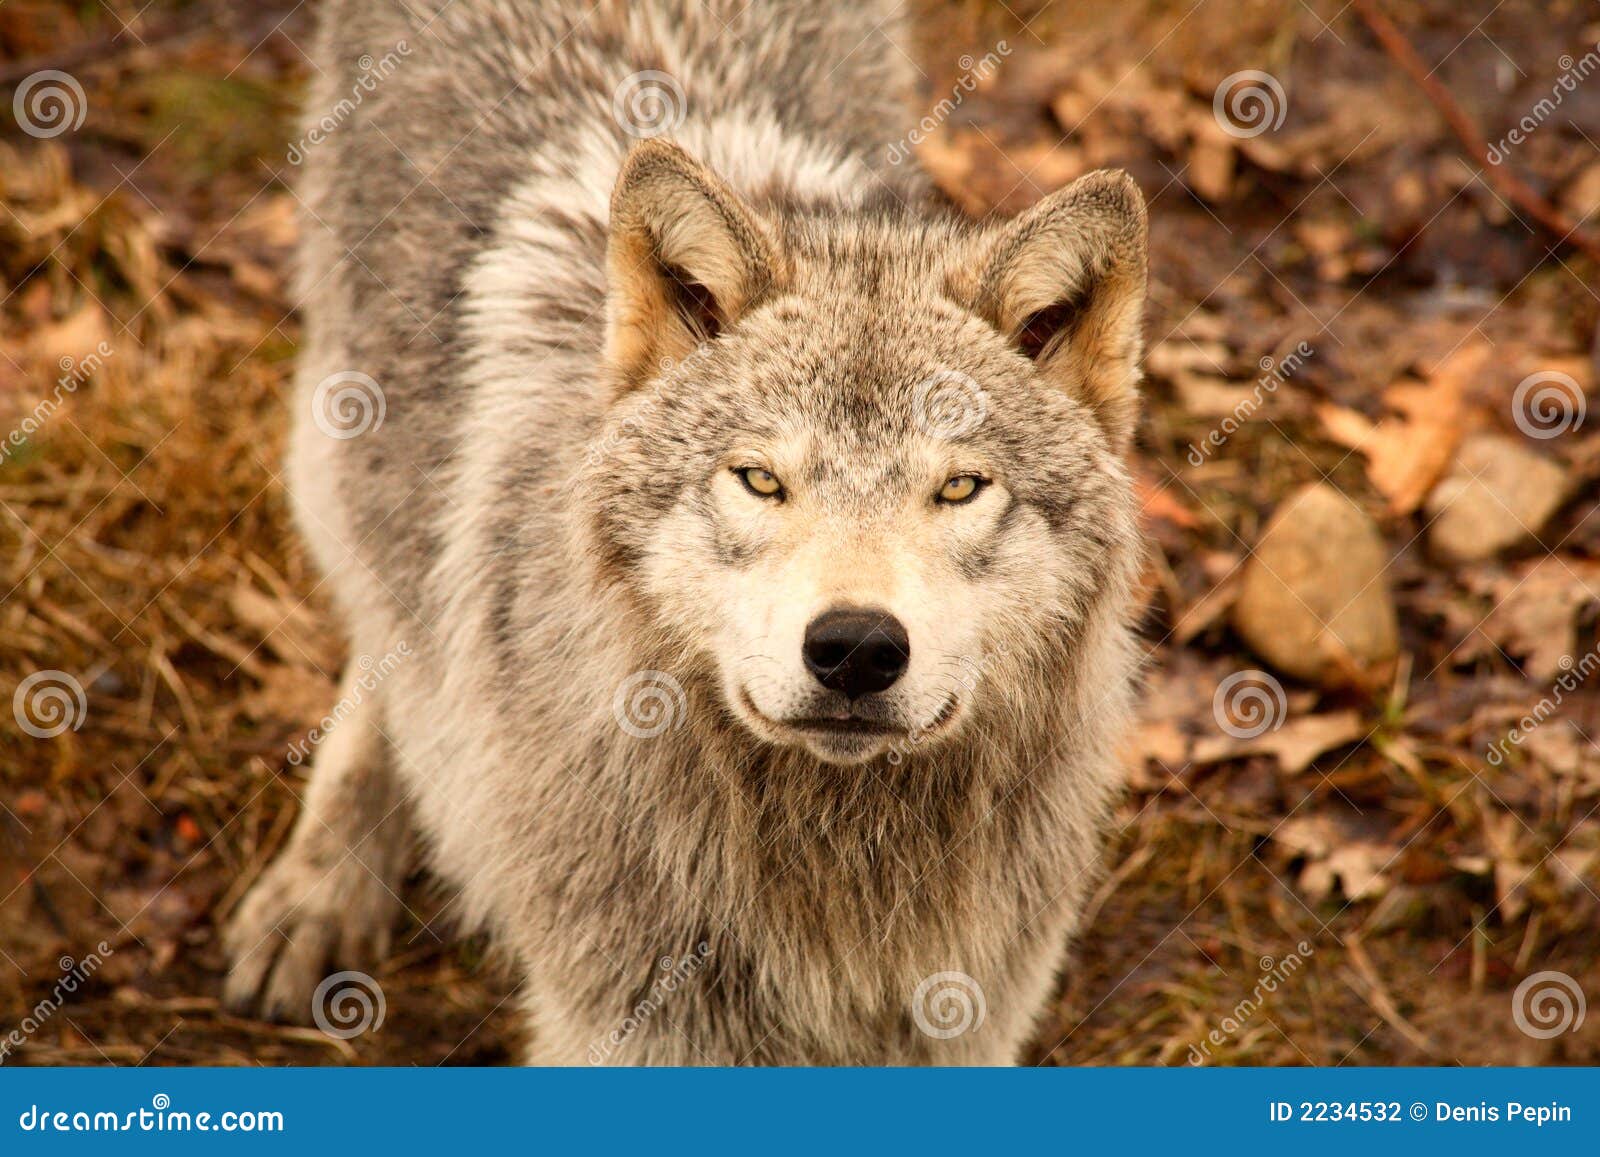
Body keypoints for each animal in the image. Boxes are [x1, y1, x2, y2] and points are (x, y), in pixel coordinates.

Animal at [223, 0, 1148, 1065]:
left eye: (959, 488)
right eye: (759, 480)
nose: (856, 647)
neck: (834, 863)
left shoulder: (968, 1019)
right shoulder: (632, 1023)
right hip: (337, 452)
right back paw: (324, 881)